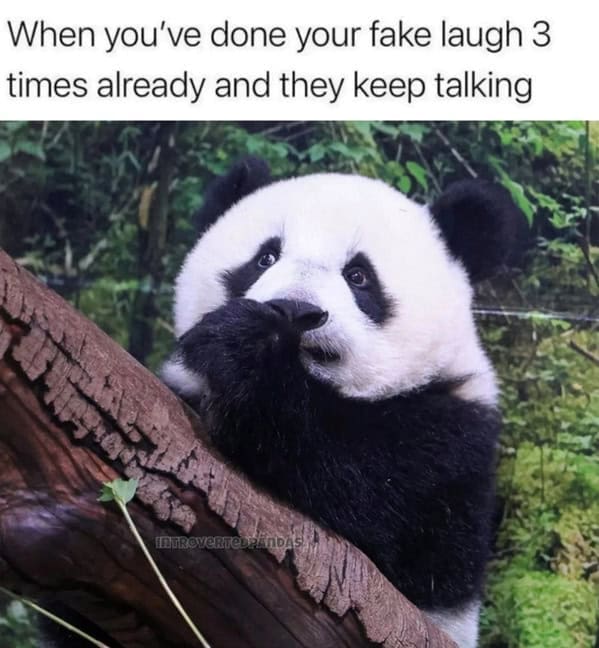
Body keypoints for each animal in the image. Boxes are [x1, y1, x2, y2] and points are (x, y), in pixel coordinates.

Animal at [162, 156, 522, 648]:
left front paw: (247, 351)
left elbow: (366, 494)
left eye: (359, 276)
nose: (295, 310)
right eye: (265, 257)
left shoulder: (450, 444)